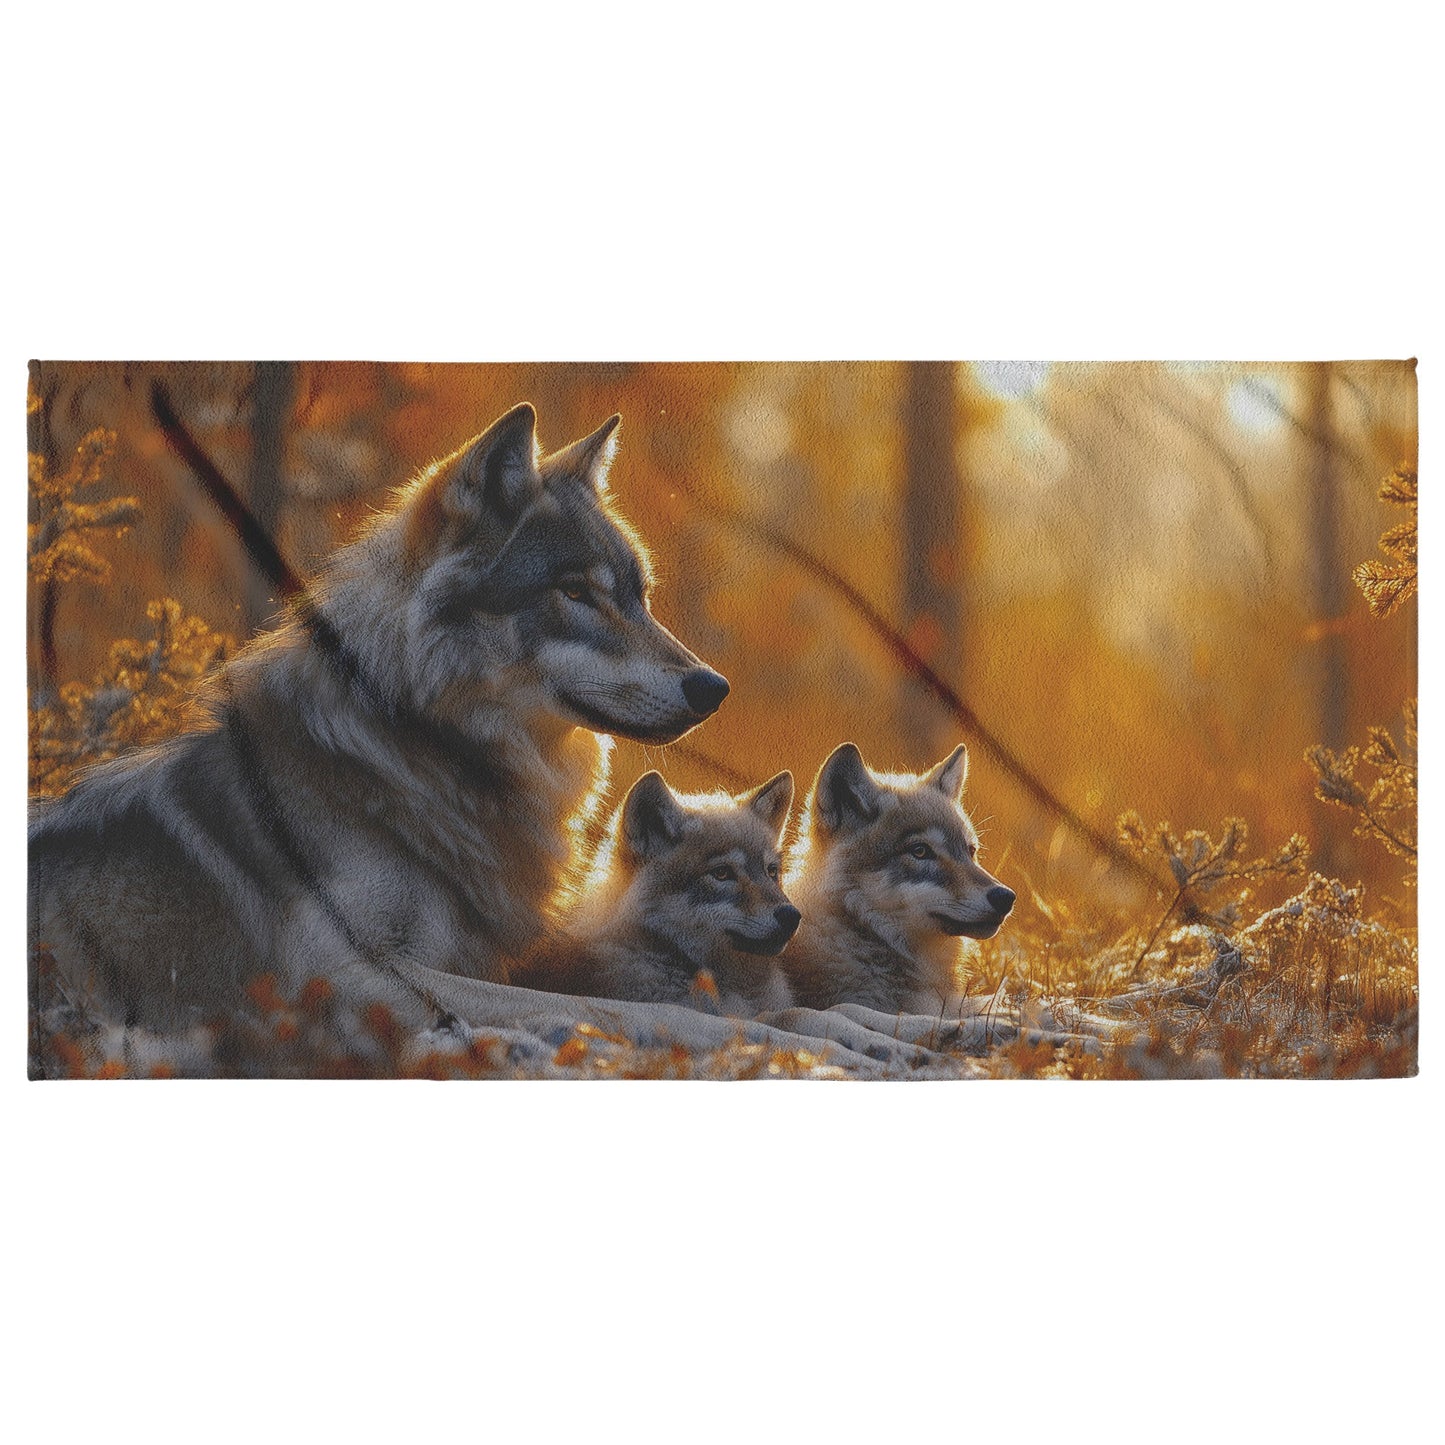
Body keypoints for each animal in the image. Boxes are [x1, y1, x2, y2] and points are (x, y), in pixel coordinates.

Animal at [29, 402, 731, 1040]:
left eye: (638, 597)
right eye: (575, 591)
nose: (713, 687)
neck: (418, 752)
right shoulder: (348, 975)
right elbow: (626, 1010)